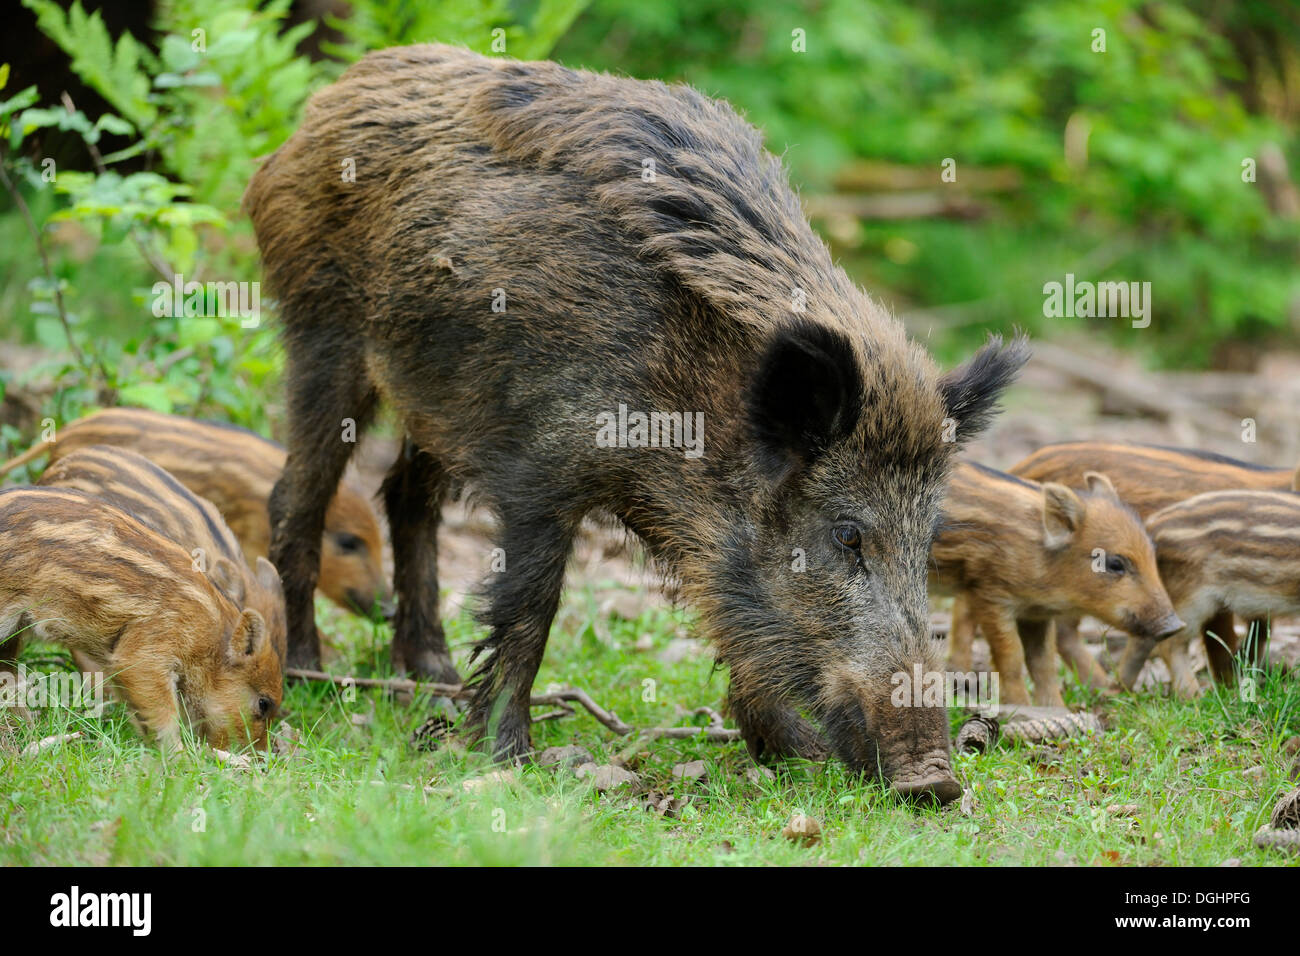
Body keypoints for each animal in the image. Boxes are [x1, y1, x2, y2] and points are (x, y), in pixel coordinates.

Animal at [0, 487, 282, 749]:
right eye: (263, 703)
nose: (257, 757)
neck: (211, 638)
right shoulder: (146, 650)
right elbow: (162, 711)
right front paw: (178, 757)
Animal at [243, 43, 1028, 801]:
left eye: (929, 538)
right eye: (847, 534)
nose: (936, 781)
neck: (693, 411)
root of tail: (316, 112)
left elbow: (731, 614)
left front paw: (793, 753)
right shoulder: (542, 467)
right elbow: (530, 603)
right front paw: (509, 755)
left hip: (435, 398)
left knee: (406, 497)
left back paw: (430, 675)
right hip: (322, 335)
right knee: (297, 494)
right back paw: (312, 673)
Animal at [934, 463, 1182, 706]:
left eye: (1152, 553)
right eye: (1115, 563)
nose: (1176, 626)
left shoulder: (1035, 613)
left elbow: (1042, 662)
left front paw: (1055, 711)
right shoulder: (988, 594)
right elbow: (1011, 656)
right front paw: (1020, 708)